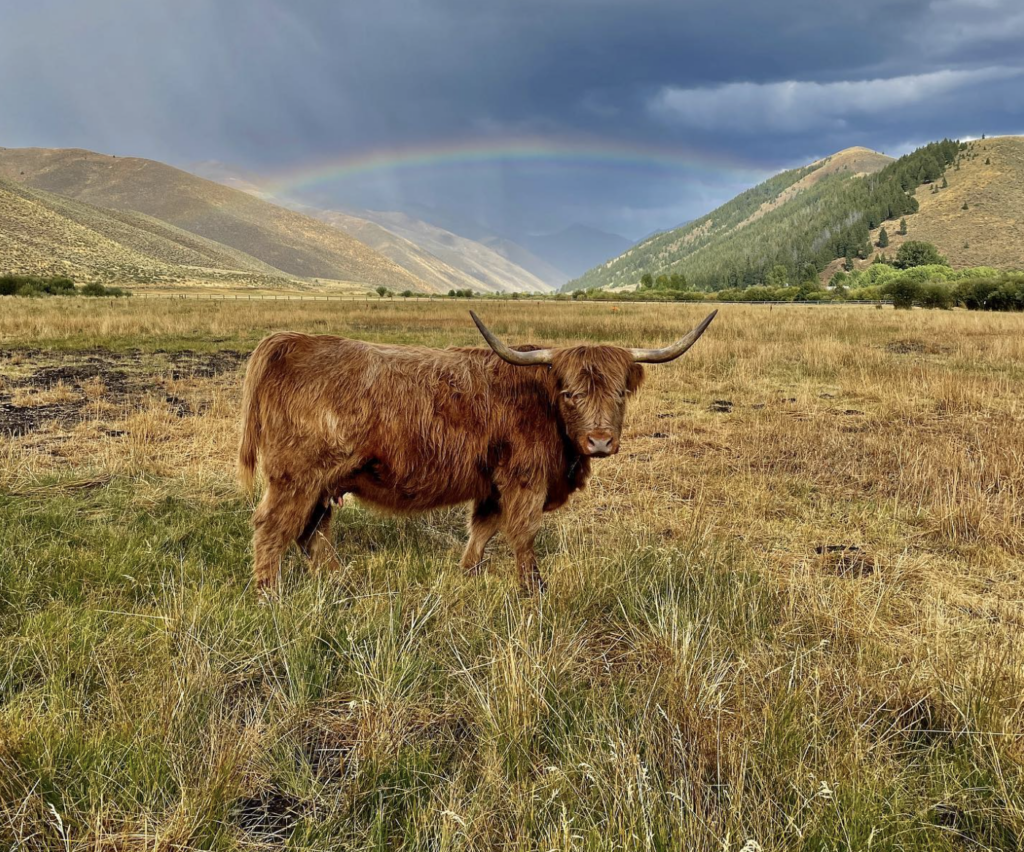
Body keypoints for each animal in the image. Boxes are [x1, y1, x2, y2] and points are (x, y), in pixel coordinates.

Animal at [238, 310, 717, 592]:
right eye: (570, 393)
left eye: (619, 393)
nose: (599, 441)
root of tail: (290, 342)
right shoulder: (525, 480)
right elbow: (522, 533)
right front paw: (532, 589)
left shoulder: (491, 485)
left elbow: (483, 530)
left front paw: (467, 574)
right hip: (297, 476)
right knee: (274, 527)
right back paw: (269, 594)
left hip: (324, 483)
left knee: (311, 532)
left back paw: (341, 582)